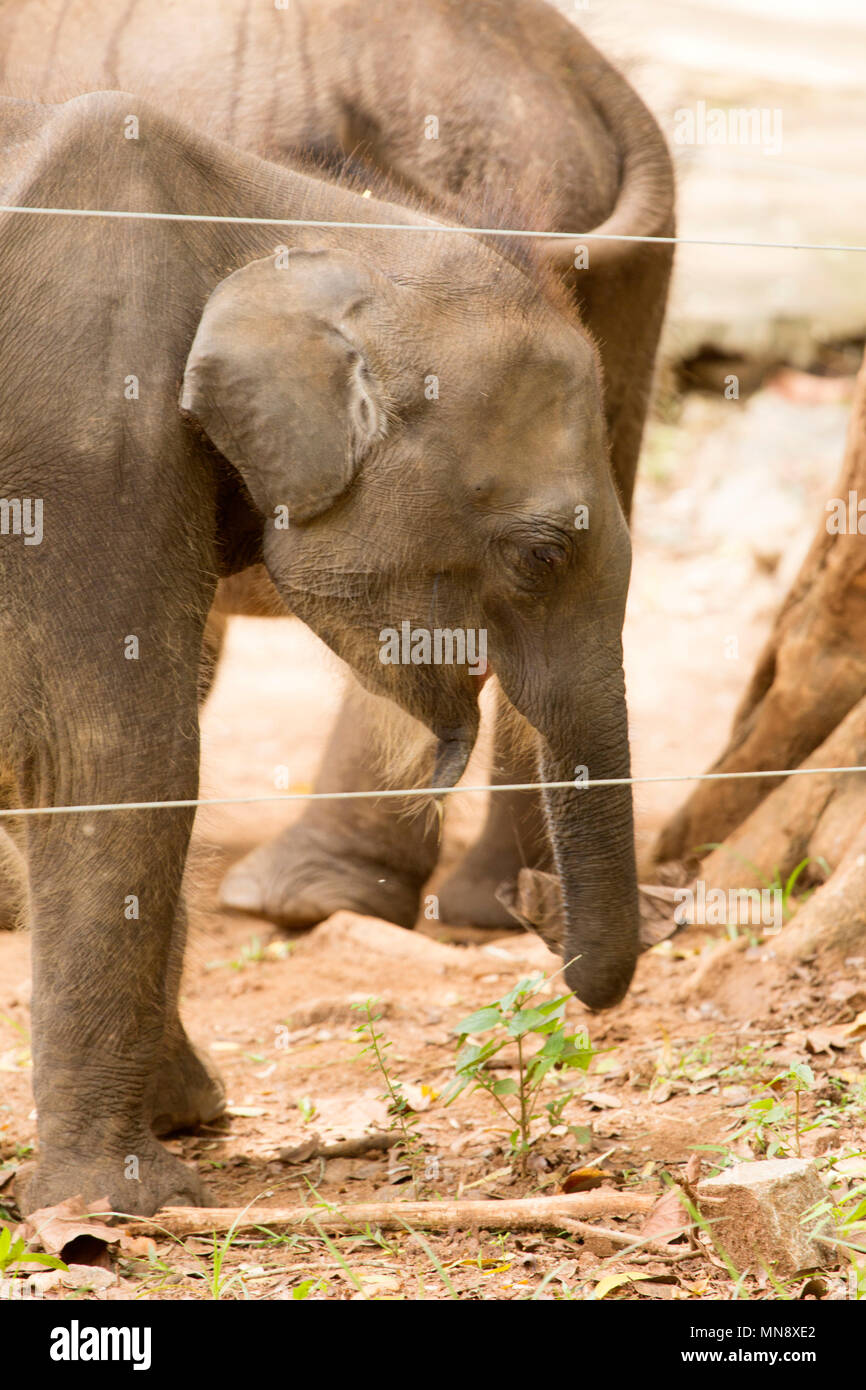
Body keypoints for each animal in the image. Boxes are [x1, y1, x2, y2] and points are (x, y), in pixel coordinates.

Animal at [1, 89, 639, 1213]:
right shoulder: (85, 441)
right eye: (540, 554)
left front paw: (185, 1117)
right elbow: (114, 755)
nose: (534, 913)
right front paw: (119, 1201)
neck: (290, 216)